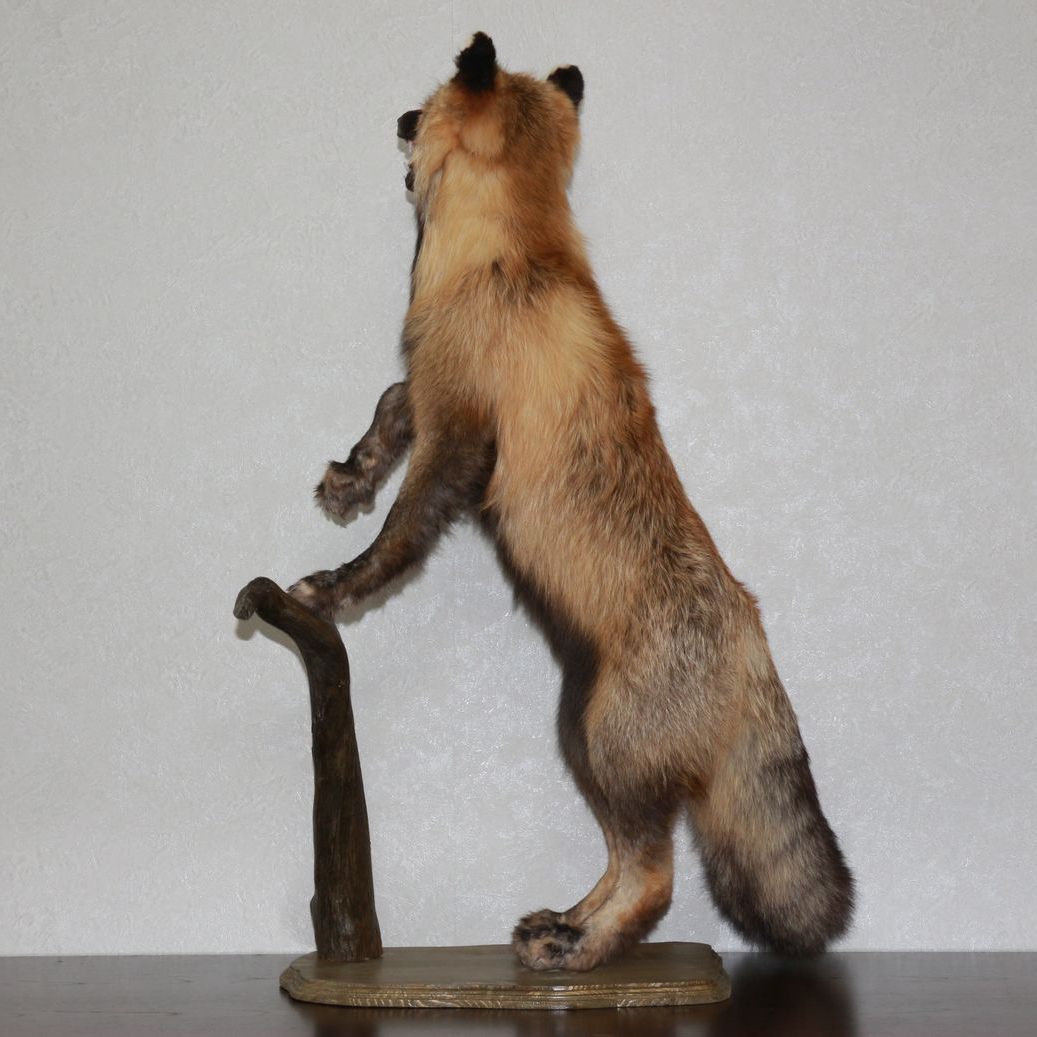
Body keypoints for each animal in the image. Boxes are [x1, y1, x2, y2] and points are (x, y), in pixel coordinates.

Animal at [288, 33, 854, 971]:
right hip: (581, 738)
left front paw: (339, 586)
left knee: (656, 878)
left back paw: (583, 952)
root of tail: (751, 636)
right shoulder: (435, 384)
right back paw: (567, 923)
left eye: (427, 103)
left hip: (607, 746)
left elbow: (401, 534)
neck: (509, 254)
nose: (396, 119)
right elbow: (386, 406)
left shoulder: (463, 437)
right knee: (623, 865)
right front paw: (348, 476)